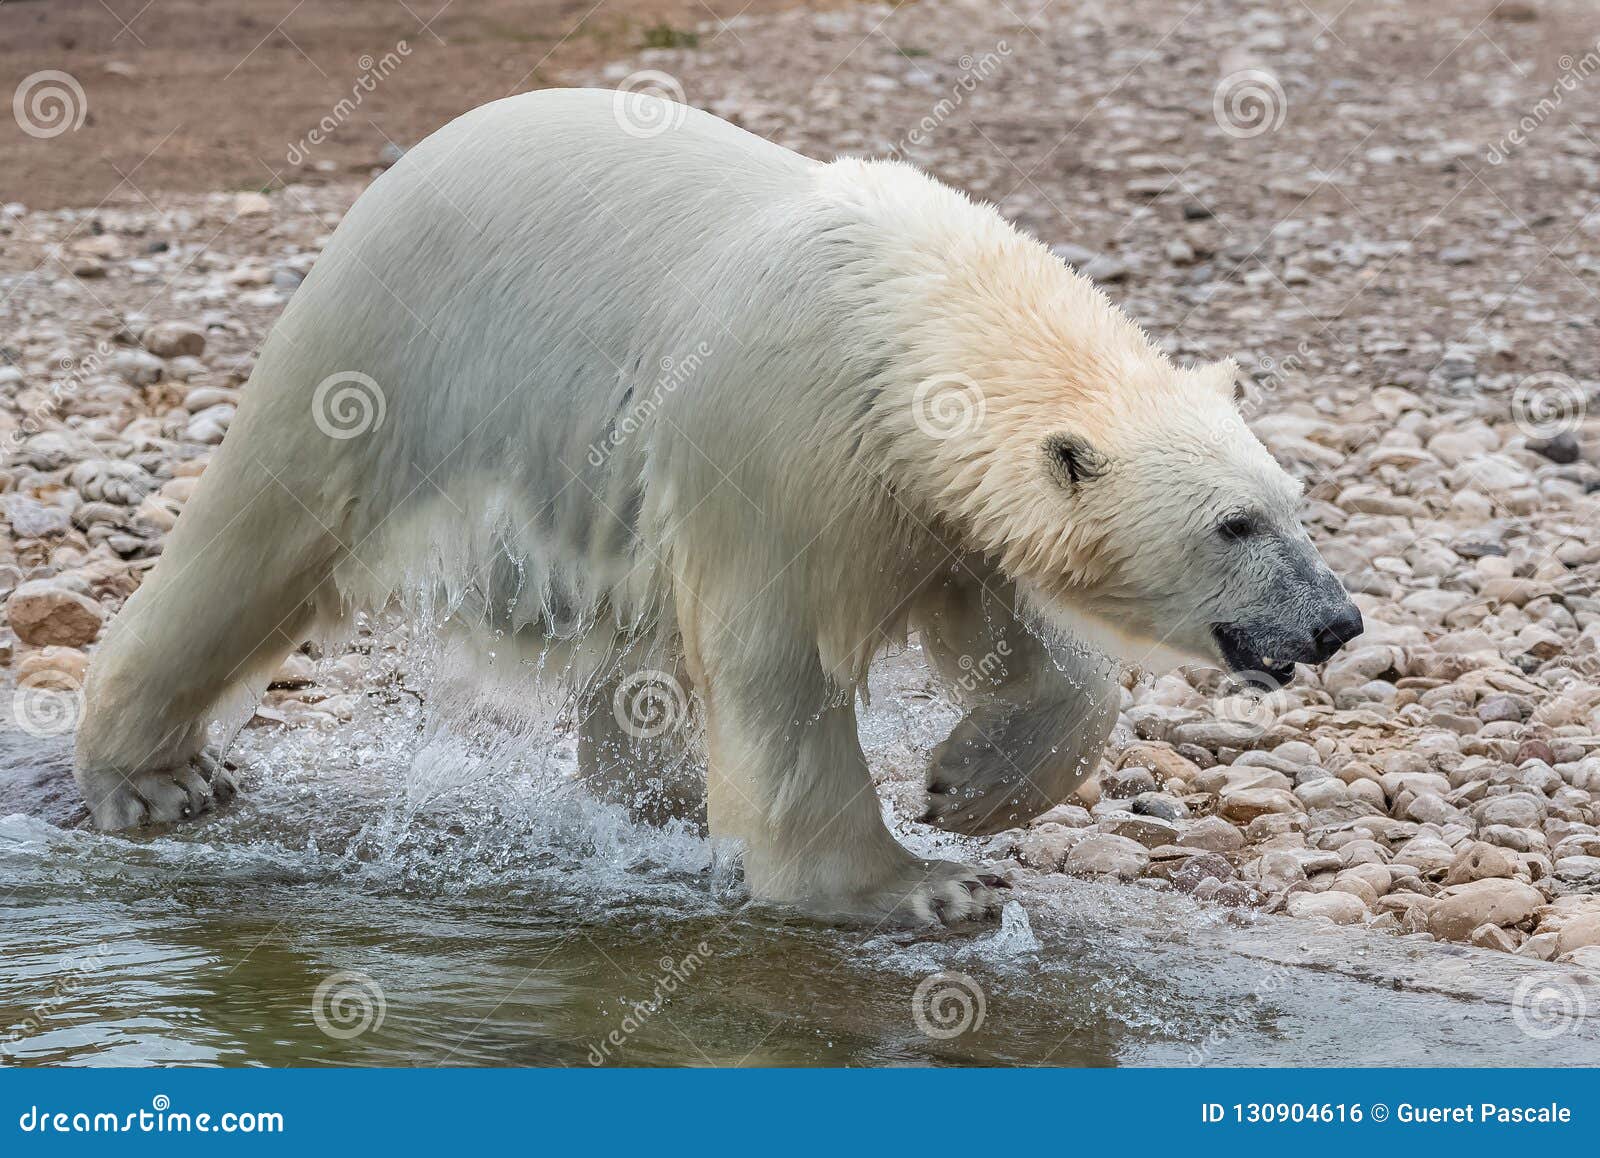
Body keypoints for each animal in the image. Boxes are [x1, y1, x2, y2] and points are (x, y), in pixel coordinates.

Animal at [73, 87, 1362, 926]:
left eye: (1293, 504)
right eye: (1233, 526)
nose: (1334, 621)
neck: (907, 313)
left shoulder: (922, 500)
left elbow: (1016, 630)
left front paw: (970, 787)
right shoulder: (783, 432)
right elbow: (780, 662)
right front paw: (920, 886)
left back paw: (652, 805)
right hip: (391, 358)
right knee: (255, 540)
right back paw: (158, 777)